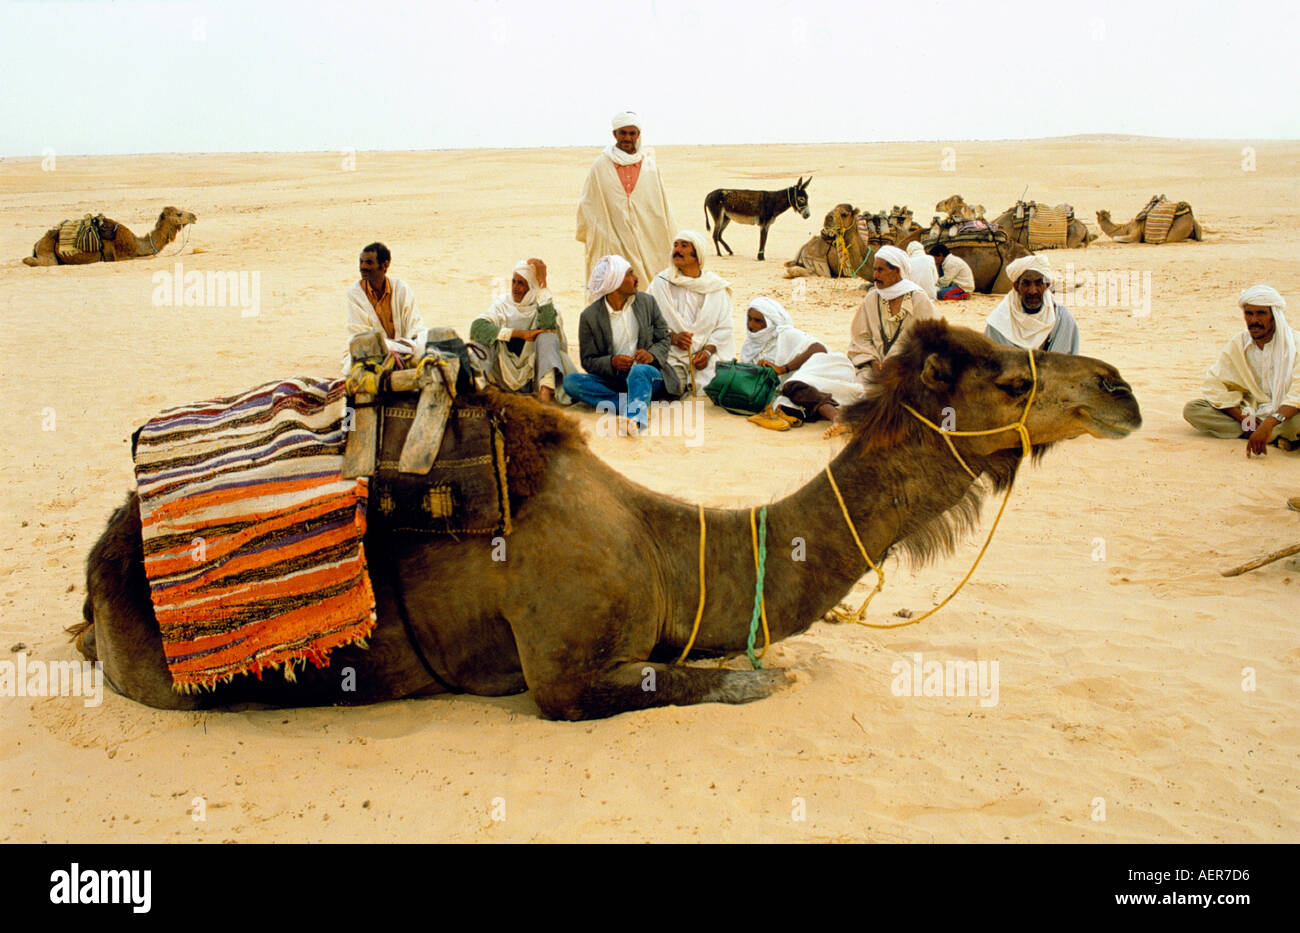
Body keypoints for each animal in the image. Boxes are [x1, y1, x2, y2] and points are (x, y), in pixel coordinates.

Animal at [23, 206, 197, 266]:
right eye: (179, 214)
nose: (194, 216)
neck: (136, 243)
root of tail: (37, 243)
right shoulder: (121, 256)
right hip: (47, 251)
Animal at [74, 321, 1141, 719]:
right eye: (1009, 376)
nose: (1120, 388)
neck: (668, 551)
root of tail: (100, 559)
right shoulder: (561, 673)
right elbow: (742, 677)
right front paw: (766, 671)